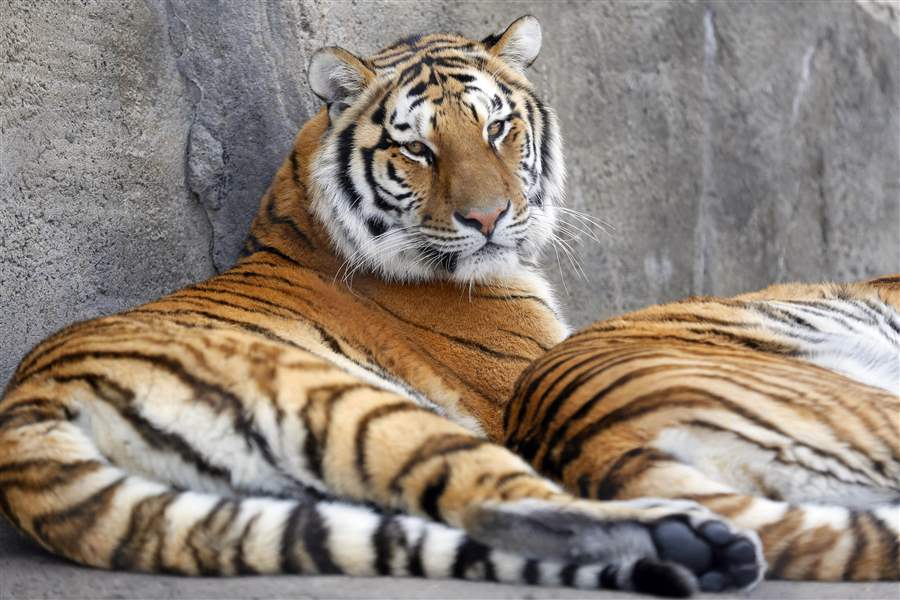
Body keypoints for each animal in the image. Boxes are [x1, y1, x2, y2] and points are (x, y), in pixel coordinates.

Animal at [0, 16, 765, 597]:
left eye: (497, 130)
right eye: (418, 148)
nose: (488, 218)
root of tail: (27, 413)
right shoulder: (534, 377)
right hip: (362, 405)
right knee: (497, 498)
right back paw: (695, 542)